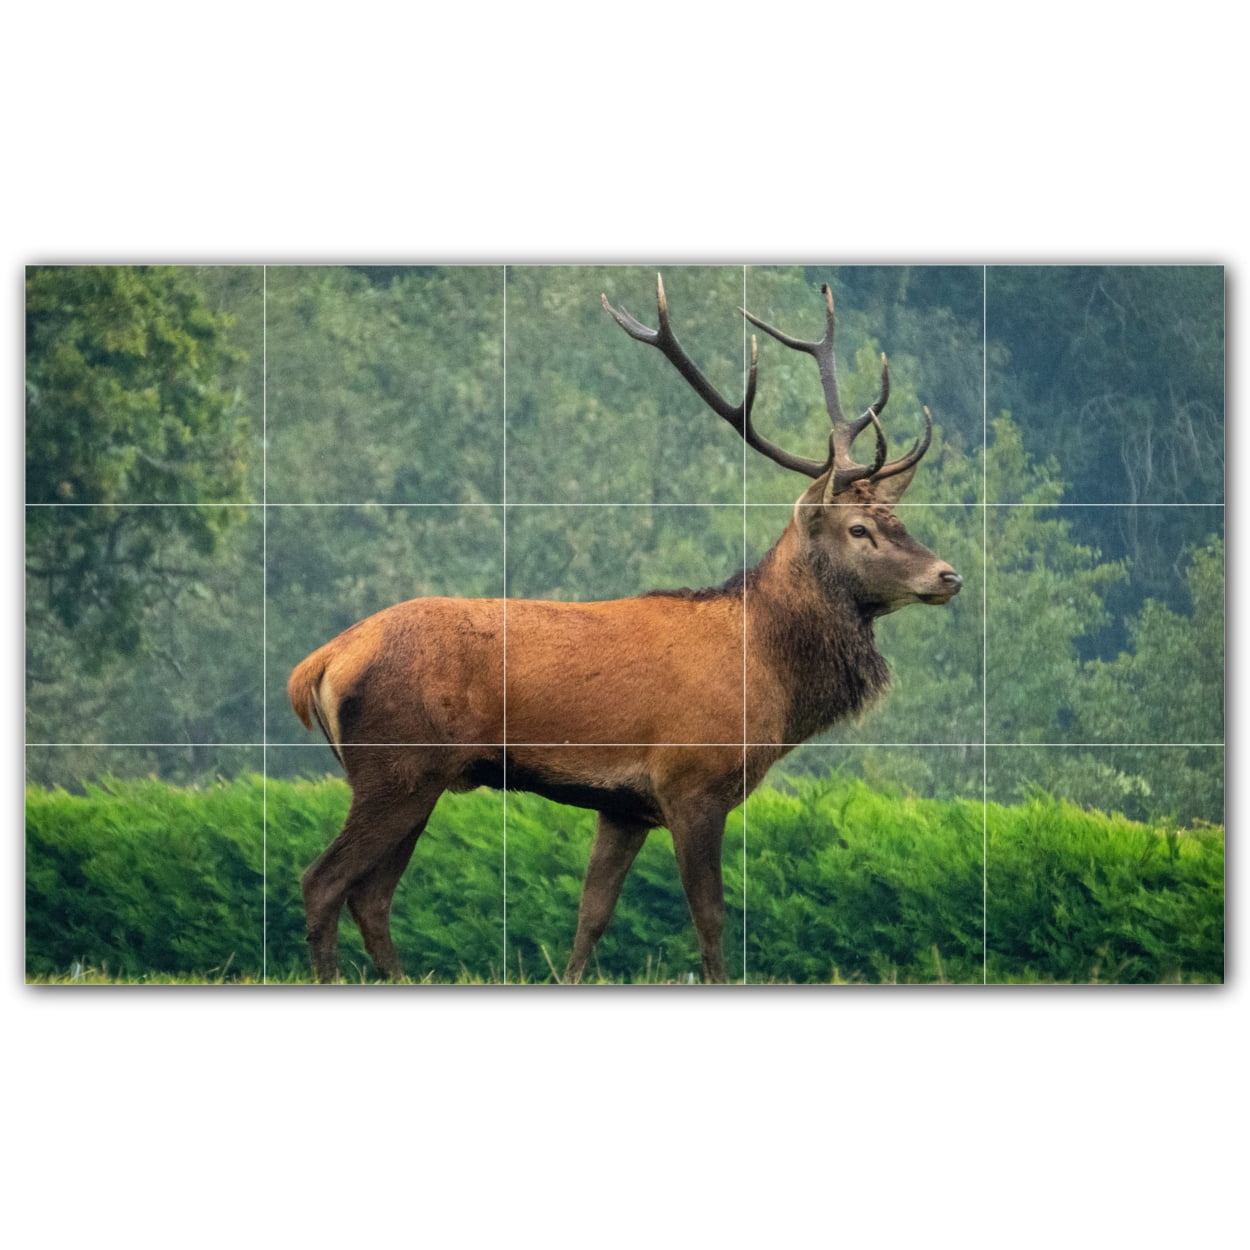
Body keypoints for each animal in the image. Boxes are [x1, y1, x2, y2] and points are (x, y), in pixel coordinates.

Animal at [288, 275, 962, 984]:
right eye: (858, 529)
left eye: (898, 520)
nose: (947, 575)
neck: (769, 677)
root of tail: (319, 665)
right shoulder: (692, 782)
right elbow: (710, 918)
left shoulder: (623, 804)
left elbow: (593, 914)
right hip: (397, 766)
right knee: (324, 880)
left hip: (417, 777)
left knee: (372, 894)